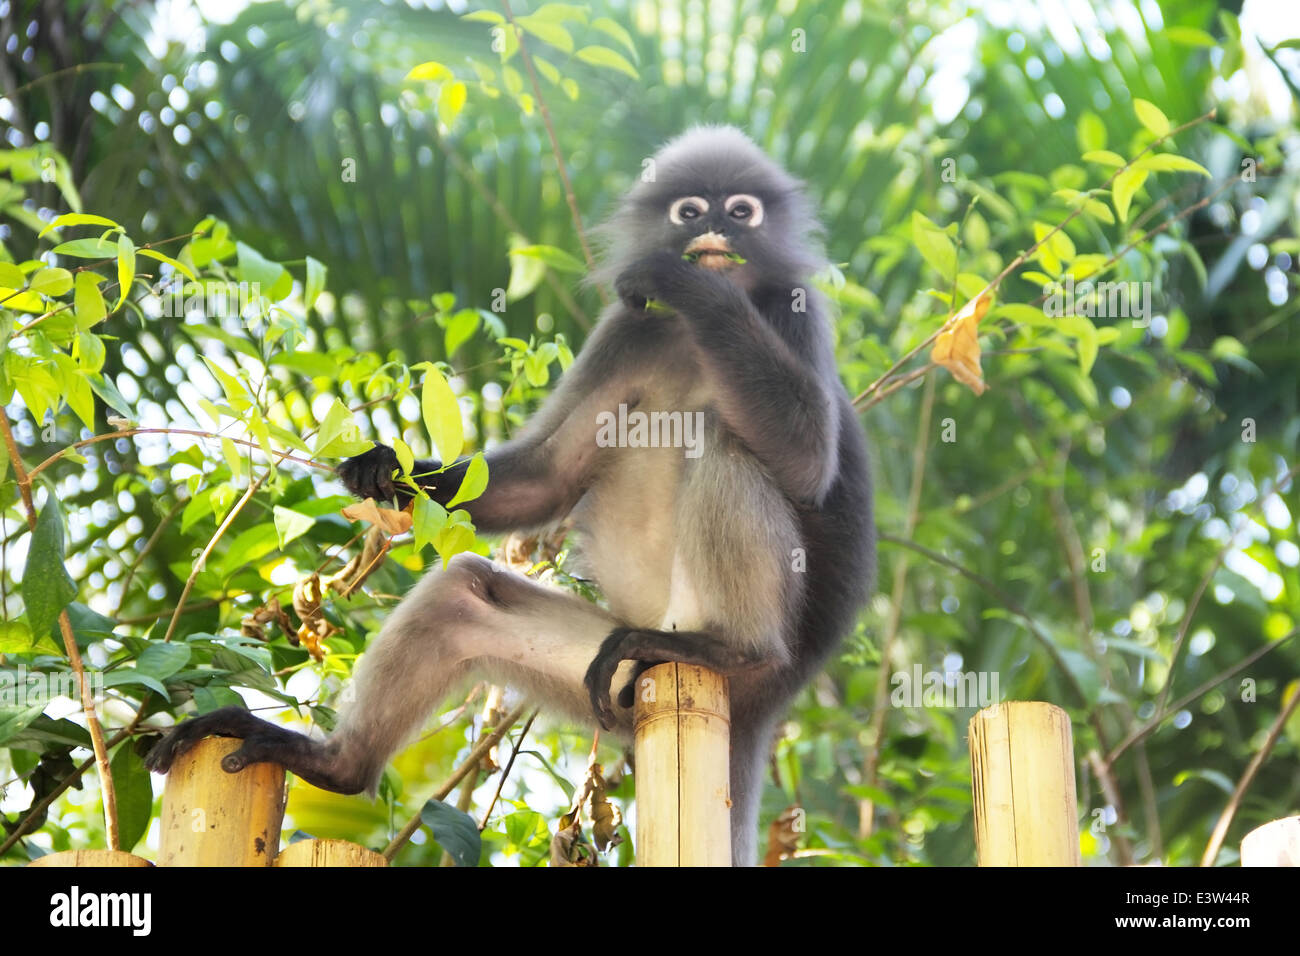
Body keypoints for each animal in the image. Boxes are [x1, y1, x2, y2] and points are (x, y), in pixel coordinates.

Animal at [146, 125, 876, 866]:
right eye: (692, 211)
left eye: (742, 211)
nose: (719, 232)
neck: (687, 335)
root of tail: (767, 697)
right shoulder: (623, 332)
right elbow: (548, 475)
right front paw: (388, 472)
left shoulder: (795, 310)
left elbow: (809, 458)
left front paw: (686, 282)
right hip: (613, 679)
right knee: (460, 594)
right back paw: (331, 764)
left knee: (725, 438)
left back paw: (735, 648)